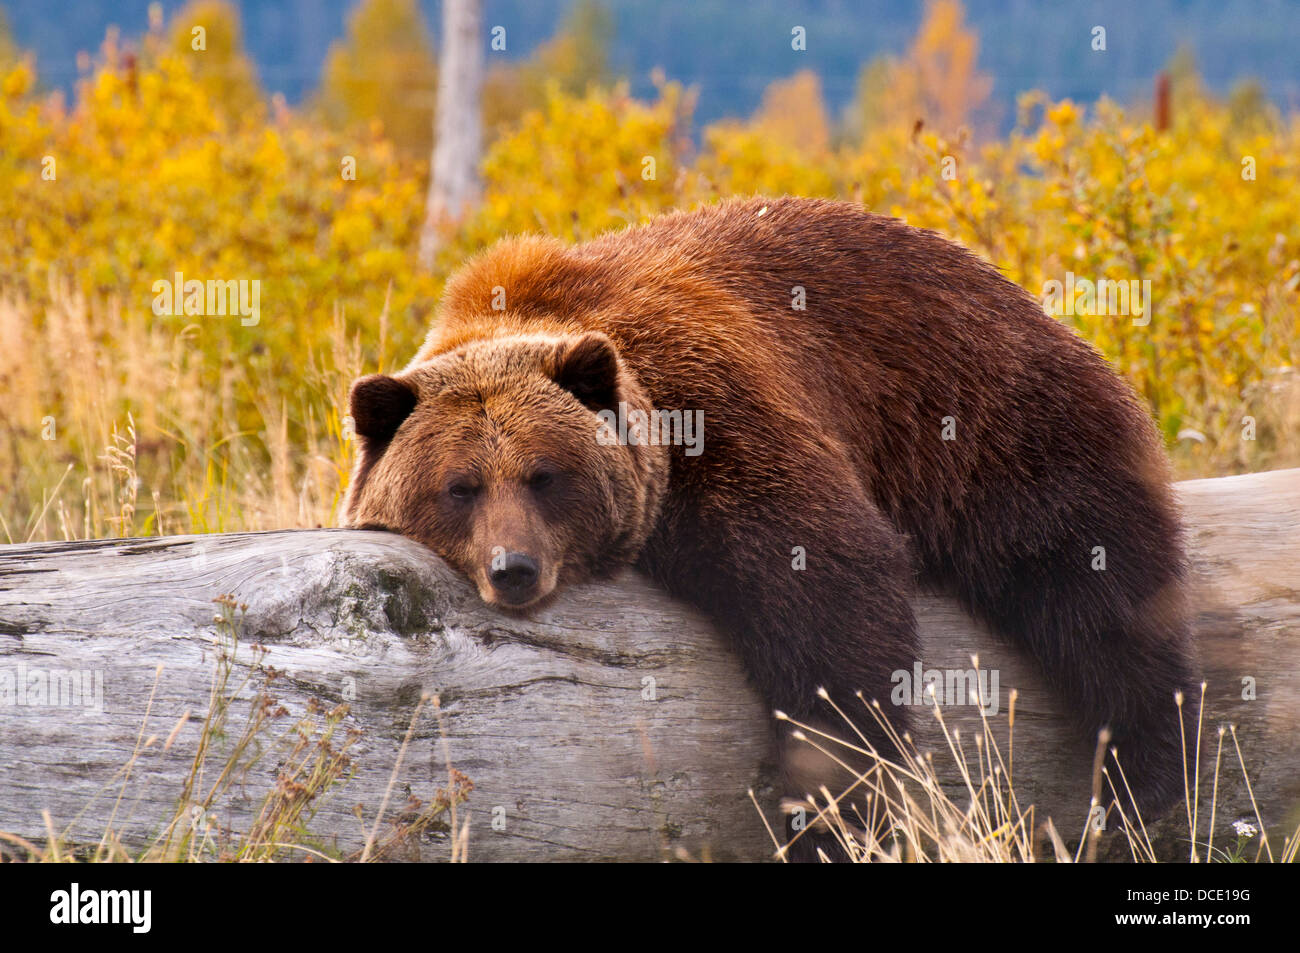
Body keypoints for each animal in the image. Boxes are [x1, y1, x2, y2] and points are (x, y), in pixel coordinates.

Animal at [342, 196, 1200, 858]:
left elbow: (828, 591)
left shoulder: (717, 410)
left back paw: (1141, 776)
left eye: (544, 475)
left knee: (1095, 588)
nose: (513, 568)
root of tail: (1020, 293)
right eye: (459, 486)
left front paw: (825, 808)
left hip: (995, 424)